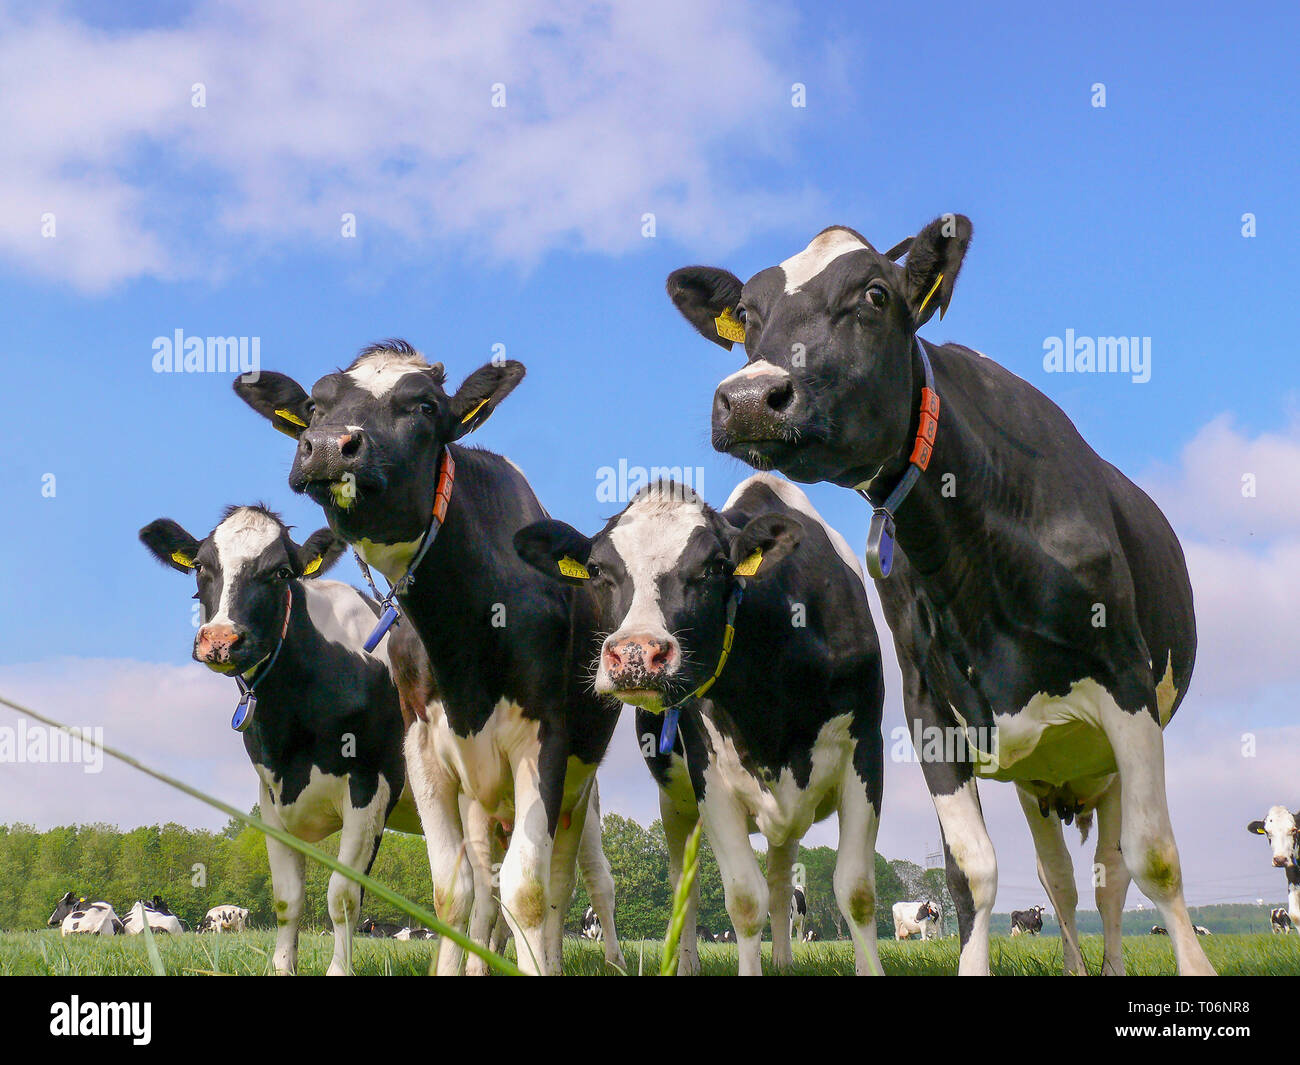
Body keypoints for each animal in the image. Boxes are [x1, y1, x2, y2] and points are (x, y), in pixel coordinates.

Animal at [233, 341, 623, 975]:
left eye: (424, 406)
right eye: (315, 406)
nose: (327, 445)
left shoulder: (544, 742)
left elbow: (529, 891)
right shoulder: (421, 743)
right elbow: (452, 891)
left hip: (580, 791)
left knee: (572, 884)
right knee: (489, 889)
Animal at [515, 474, 885, 976]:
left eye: (715, 567)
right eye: (596, 569)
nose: (635, 654)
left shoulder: (865, 752)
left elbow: (856, 891)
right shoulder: (710, 776)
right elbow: (745, 899)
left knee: (782, 880)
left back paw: (784, 960)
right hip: (677, 803)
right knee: (684, 884)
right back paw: (687, 961)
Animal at [666, 216, 1213, 977]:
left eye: (874, 294)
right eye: (746, 312)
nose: (748, 399)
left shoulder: (1127, 685)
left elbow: (1155, 858)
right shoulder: (929, 705)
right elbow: (972, 870)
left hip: (1102, 758)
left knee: (1110, 877)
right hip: (1043, 771)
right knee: (1062, 882)